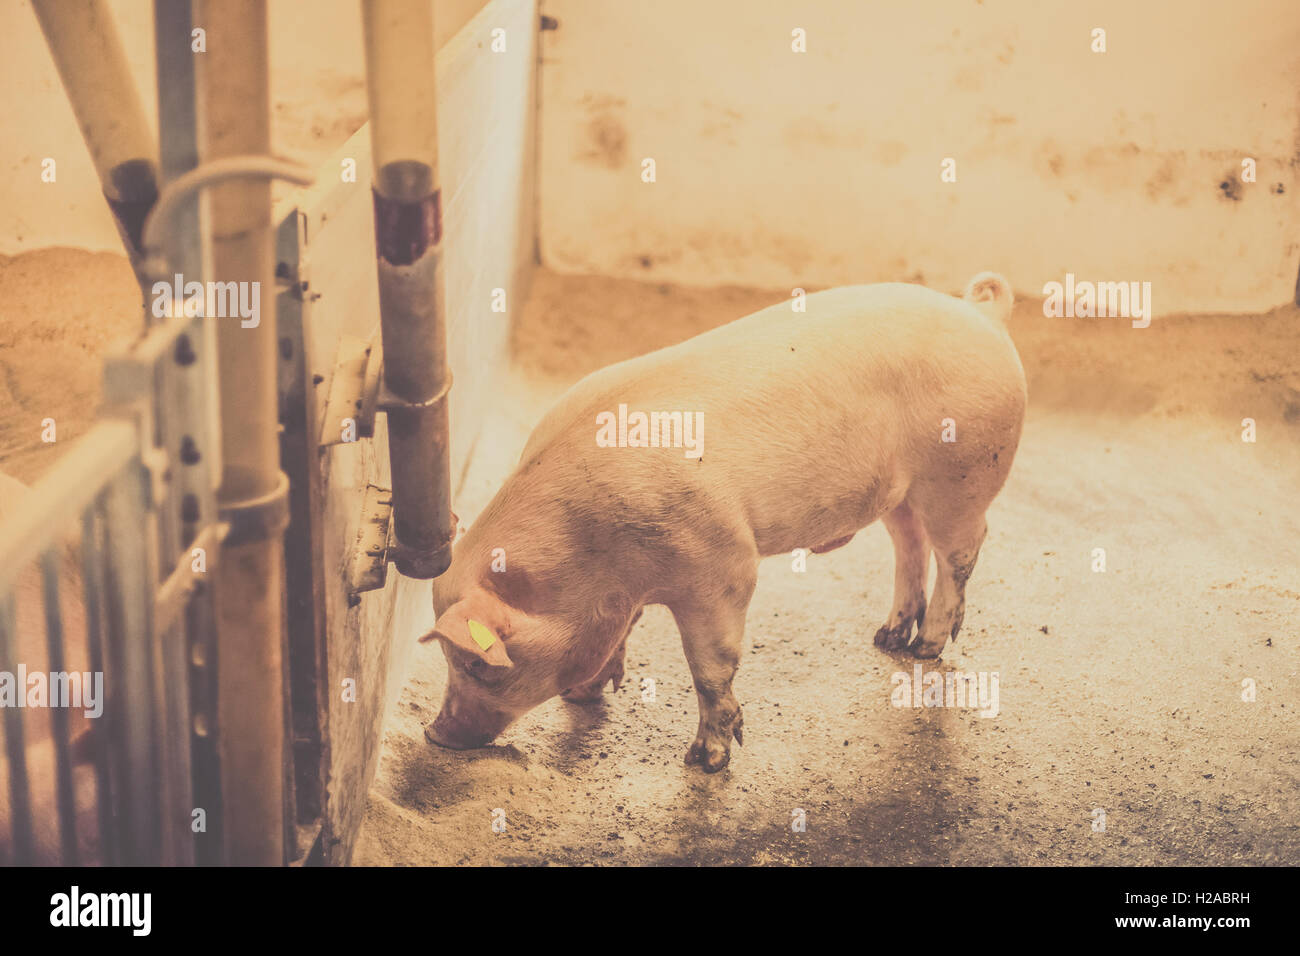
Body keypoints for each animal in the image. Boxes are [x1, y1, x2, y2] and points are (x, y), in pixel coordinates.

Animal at [423, 273, 1026, 772]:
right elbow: (625, 632)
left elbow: (712, 668)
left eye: (478, 665)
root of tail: (982, 312)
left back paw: (926, 647)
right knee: (909, 542)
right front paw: (583, 695)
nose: (434, 734)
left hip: (963, 472)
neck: (594, 557)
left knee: (962, 550)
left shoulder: (722, 567)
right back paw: (889, 637)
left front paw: (705, 761)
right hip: (900, 490)